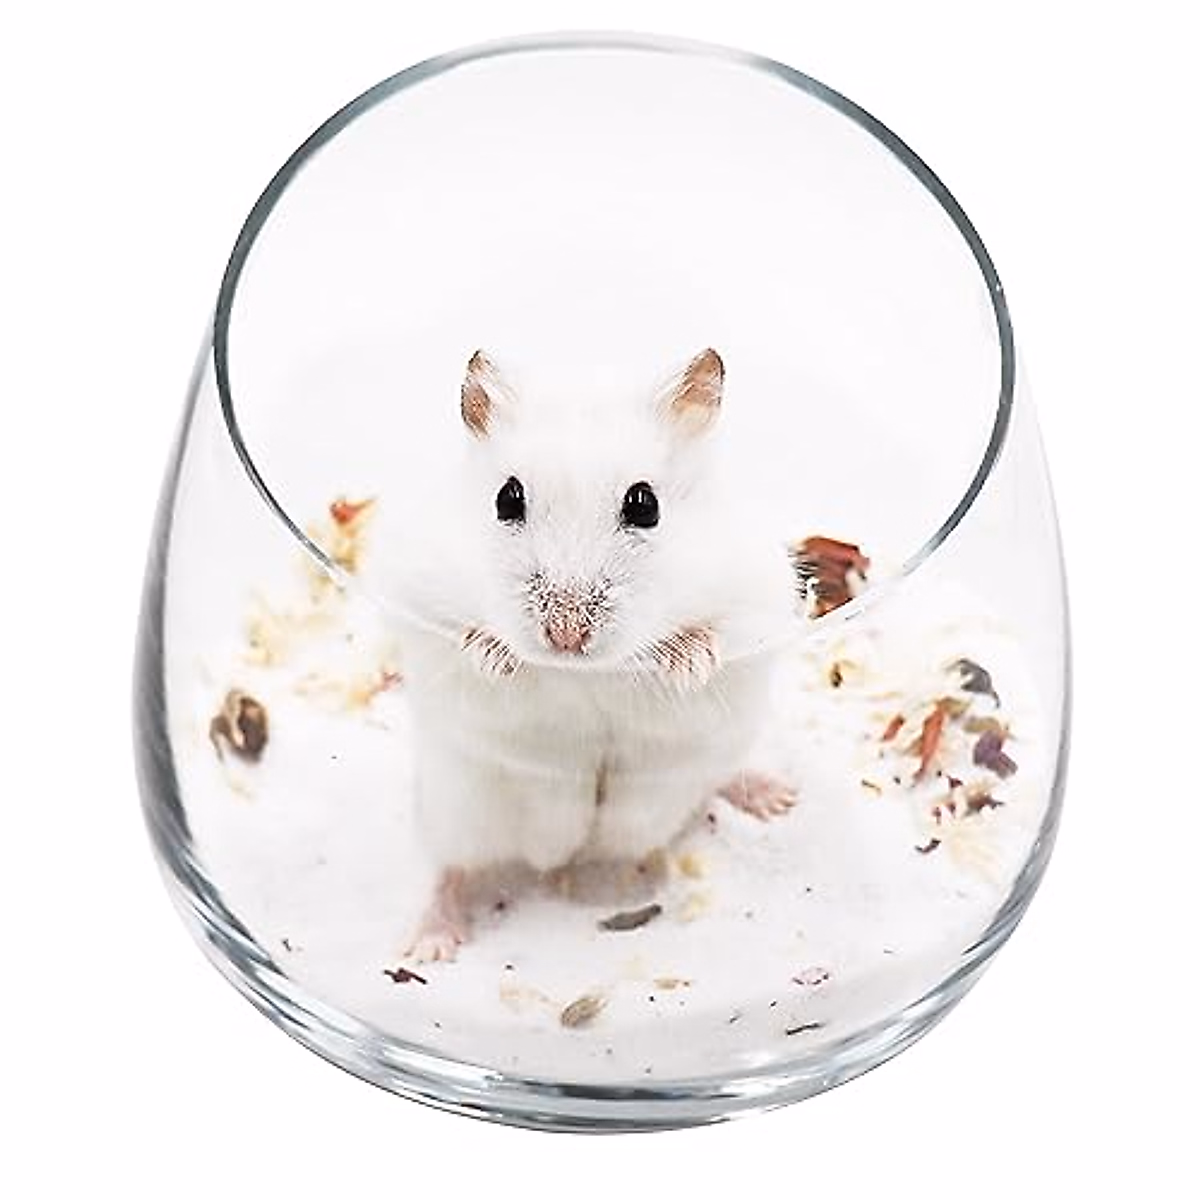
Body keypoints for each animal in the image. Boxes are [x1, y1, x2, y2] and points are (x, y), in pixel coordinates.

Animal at [377, 348, 800, 962]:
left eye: (645, 505)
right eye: (507, 498)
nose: (566, 636)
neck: (584, 675)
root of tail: (559, 868)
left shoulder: (755, 603)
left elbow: (714, 639)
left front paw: (689, 663)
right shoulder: (417, 597)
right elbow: (461, 639)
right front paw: (493, 655)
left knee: (718, 779)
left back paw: (780, 799)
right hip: (454, 807)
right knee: (451, 869)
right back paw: (431, 945)